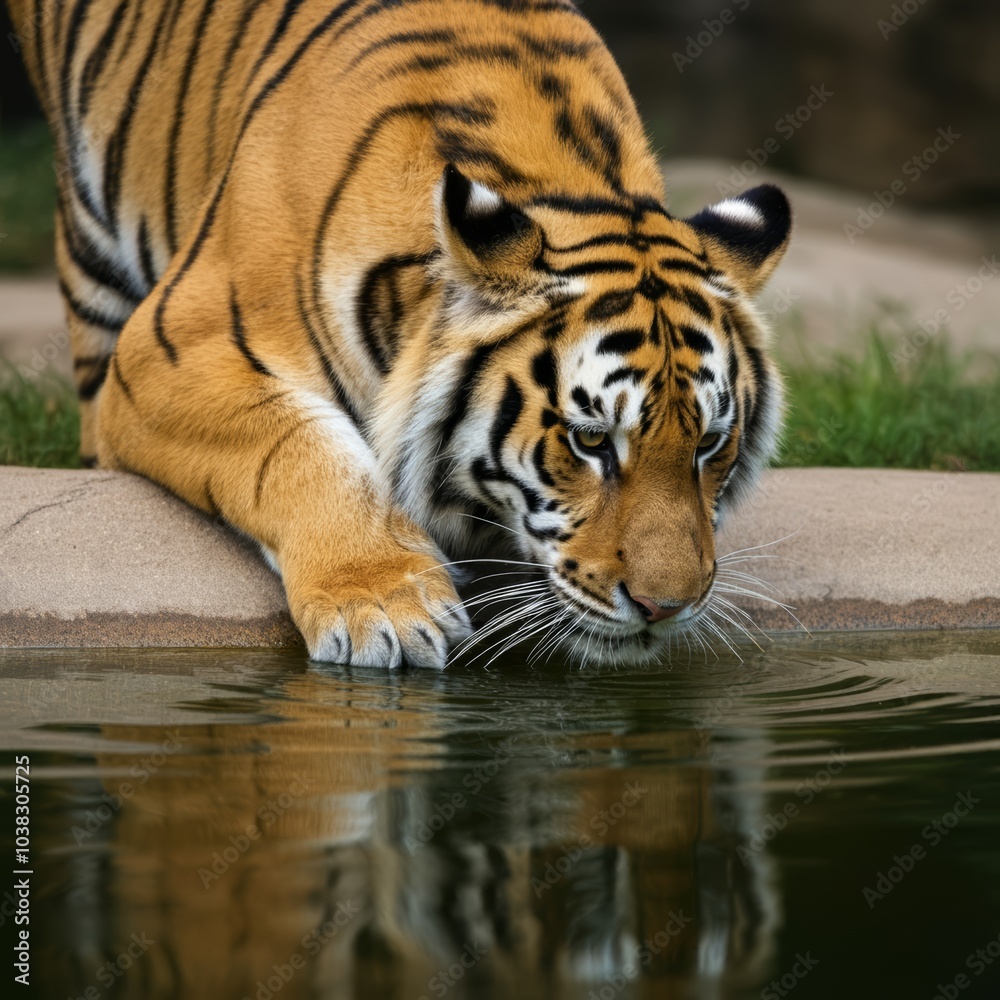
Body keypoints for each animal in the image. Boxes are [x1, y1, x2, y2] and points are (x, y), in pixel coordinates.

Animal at [8, 0, 791, 668]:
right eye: (591, 441)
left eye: (710, 444)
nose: (667, 607)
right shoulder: (172, 348)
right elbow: (298, 443)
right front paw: (383, 604)